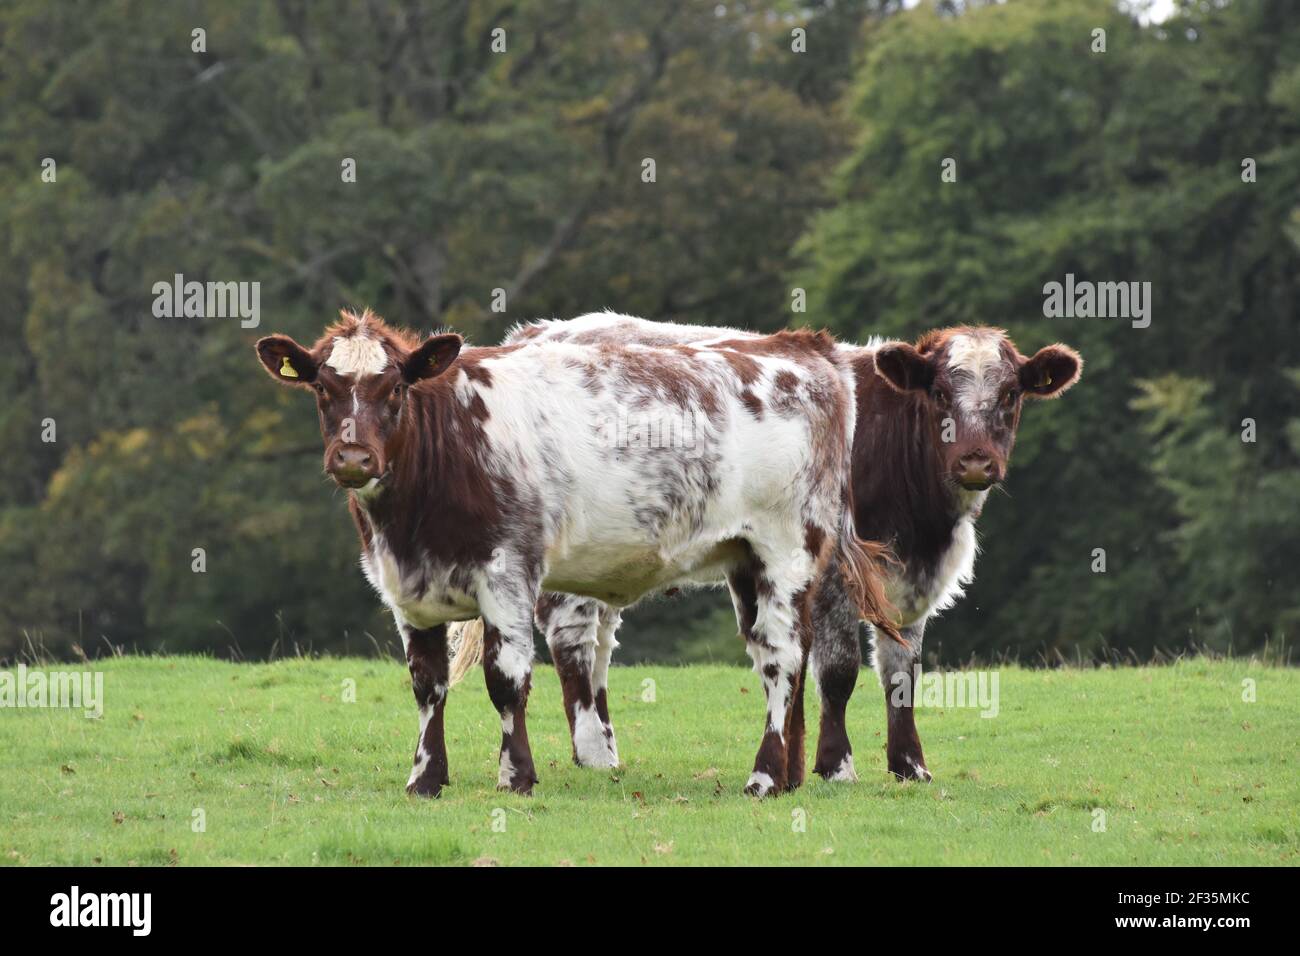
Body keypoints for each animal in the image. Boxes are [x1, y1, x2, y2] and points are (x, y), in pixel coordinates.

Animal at [255, 309, 900, 798]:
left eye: (395, 389)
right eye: (322, 390)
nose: (353, 457)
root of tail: (800, 346)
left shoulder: (507, 573)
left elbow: (505, 680)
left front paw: (515, 776)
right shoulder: (406, 590)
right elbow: (426, 684)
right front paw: (425, 779)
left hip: (785, 547)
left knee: (782, 659)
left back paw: (764, 778)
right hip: (748, 559)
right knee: (779, 654)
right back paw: (786, 777)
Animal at [451, 313, 1081, 784]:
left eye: (1010, 394)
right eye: (941, 391)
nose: (976, 462)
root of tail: (538, 331)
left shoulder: (910, 584)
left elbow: (899, 671)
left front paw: (908, 767)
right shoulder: (835, 575)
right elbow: (837, 670)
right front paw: (835, 766)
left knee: (600, 645)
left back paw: (601, 749)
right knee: (574, 642)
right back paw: (596, 754)